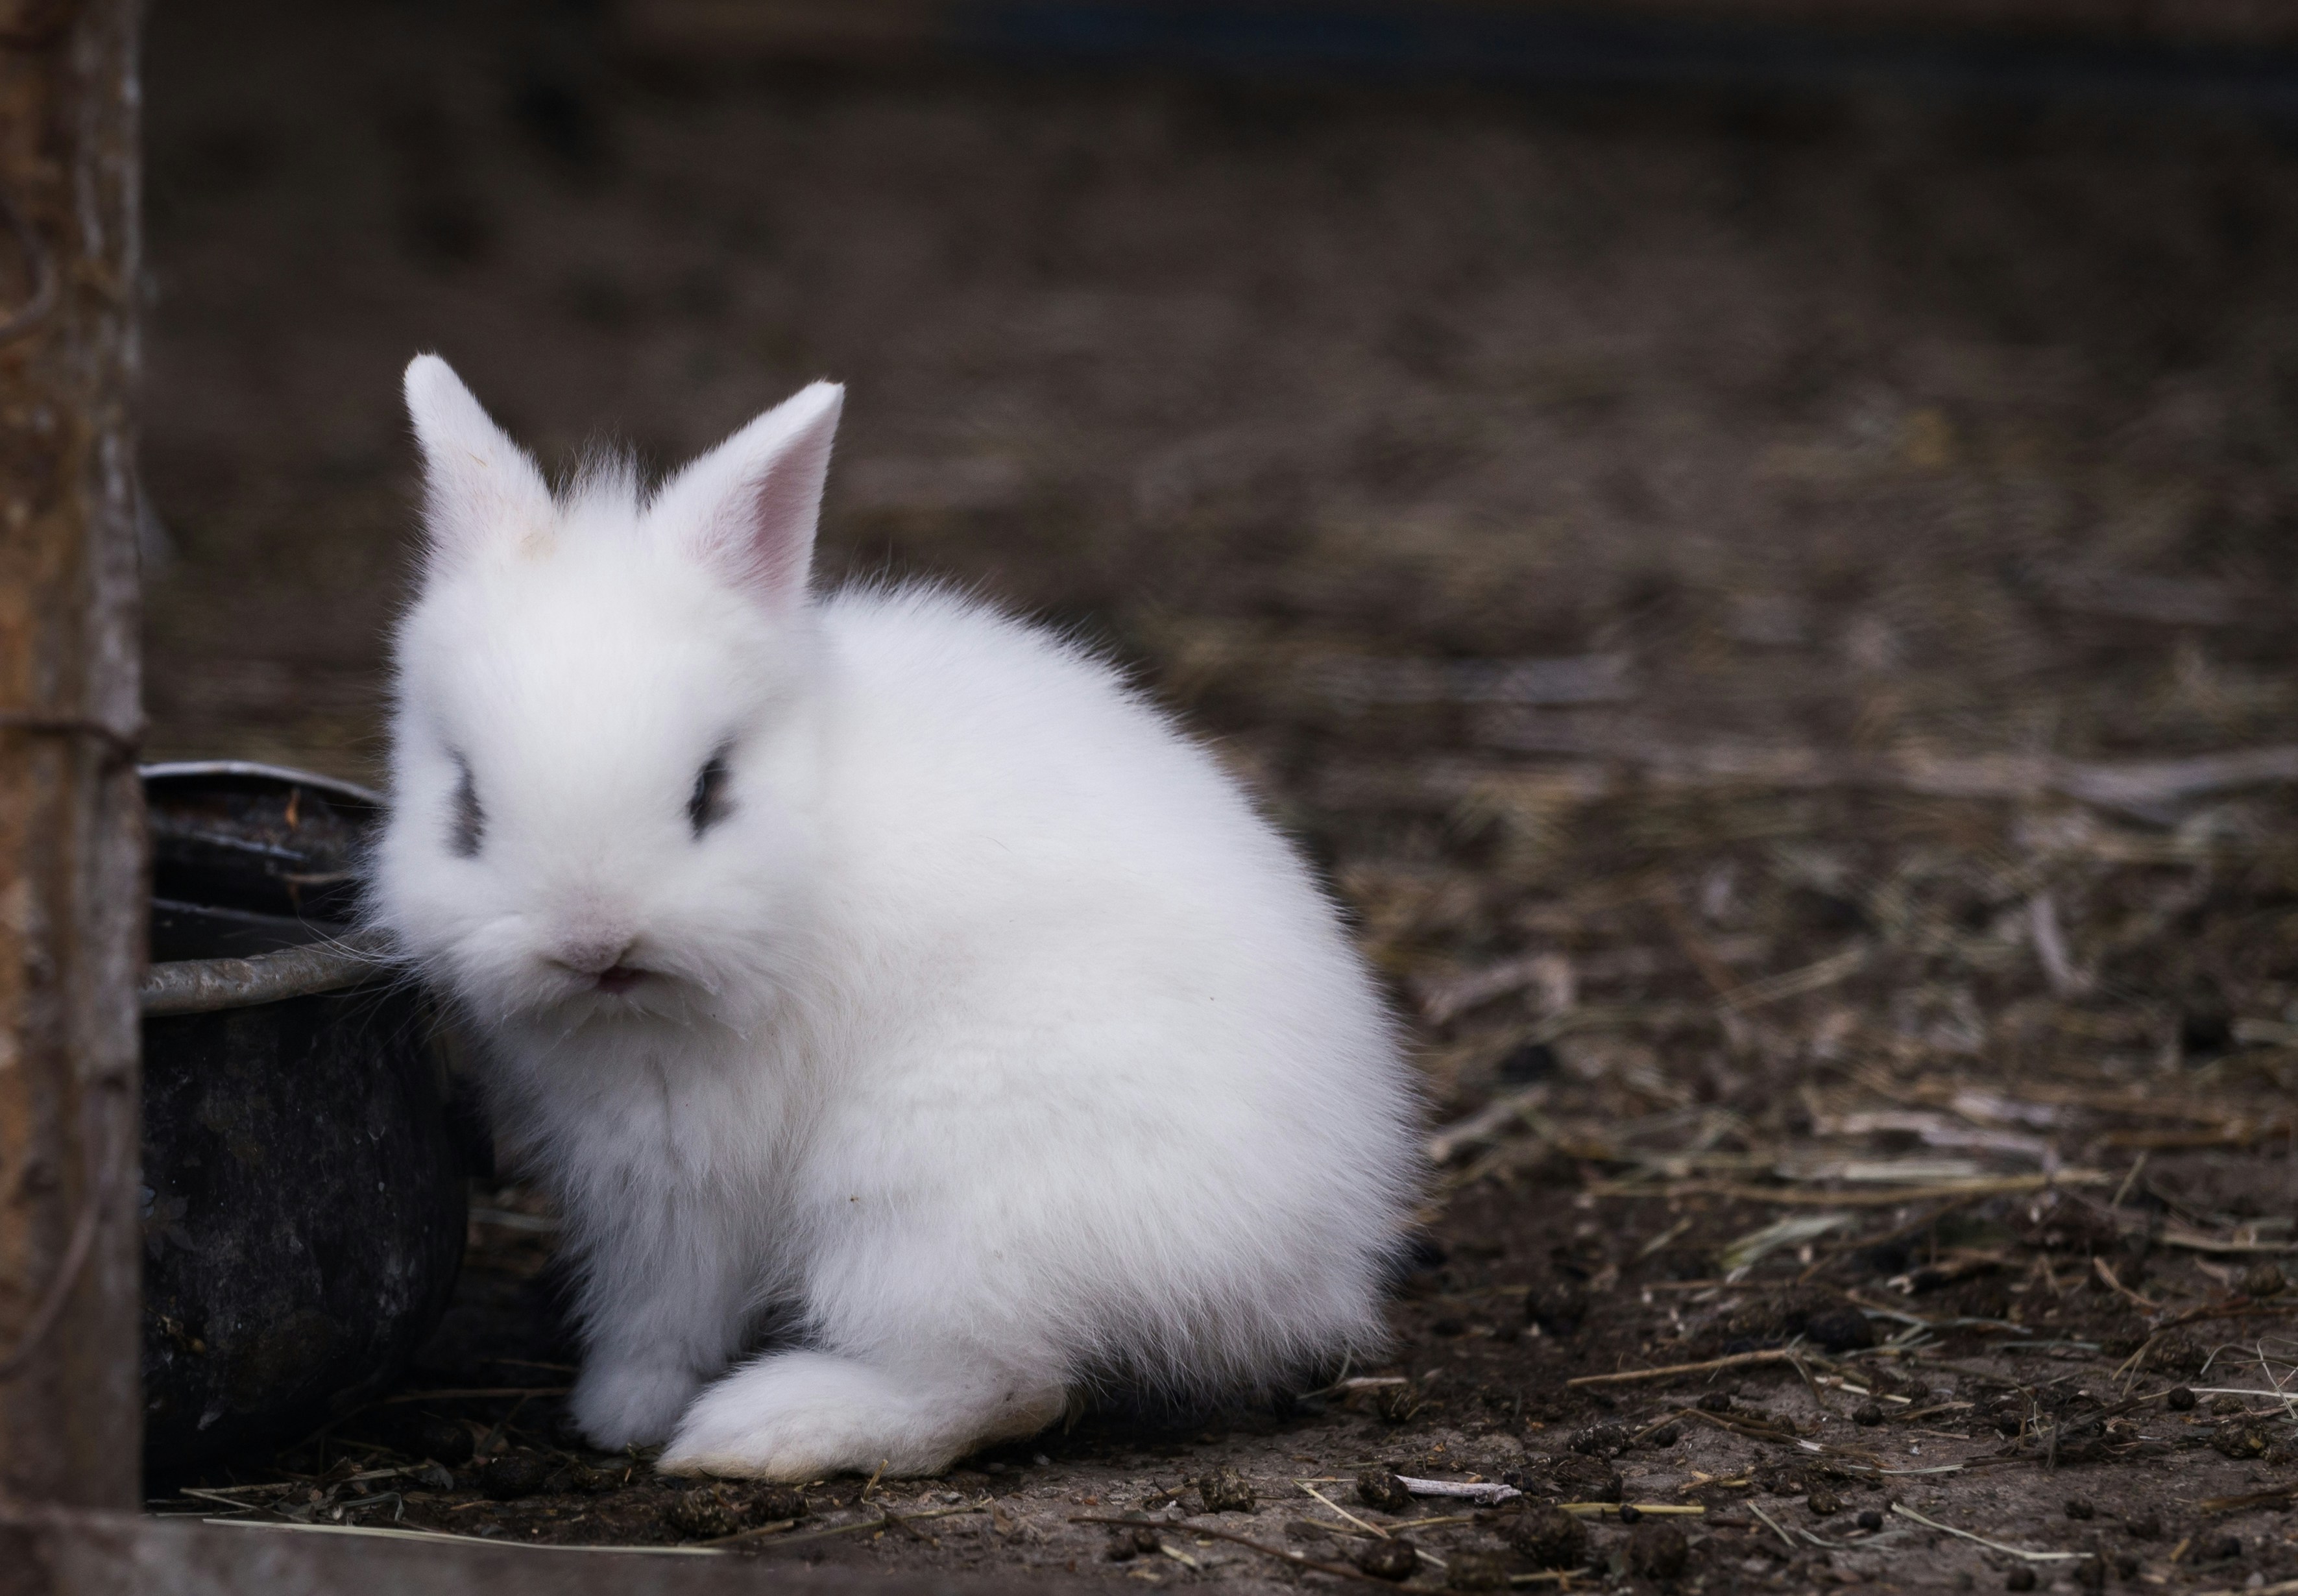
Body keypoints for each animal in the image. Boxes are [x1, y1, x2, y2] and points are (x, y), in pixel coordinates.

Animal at [371, 354, 1423, 1480]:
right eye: (467, 804)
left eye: (710, 789)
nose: (595, 941)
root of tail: (1309, 1267)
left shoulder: (680, 1176)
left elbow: (662, 1311)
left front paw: (620, 1414)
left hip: (922, 1201)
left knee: (998, 1386)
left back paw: (761, 1430)